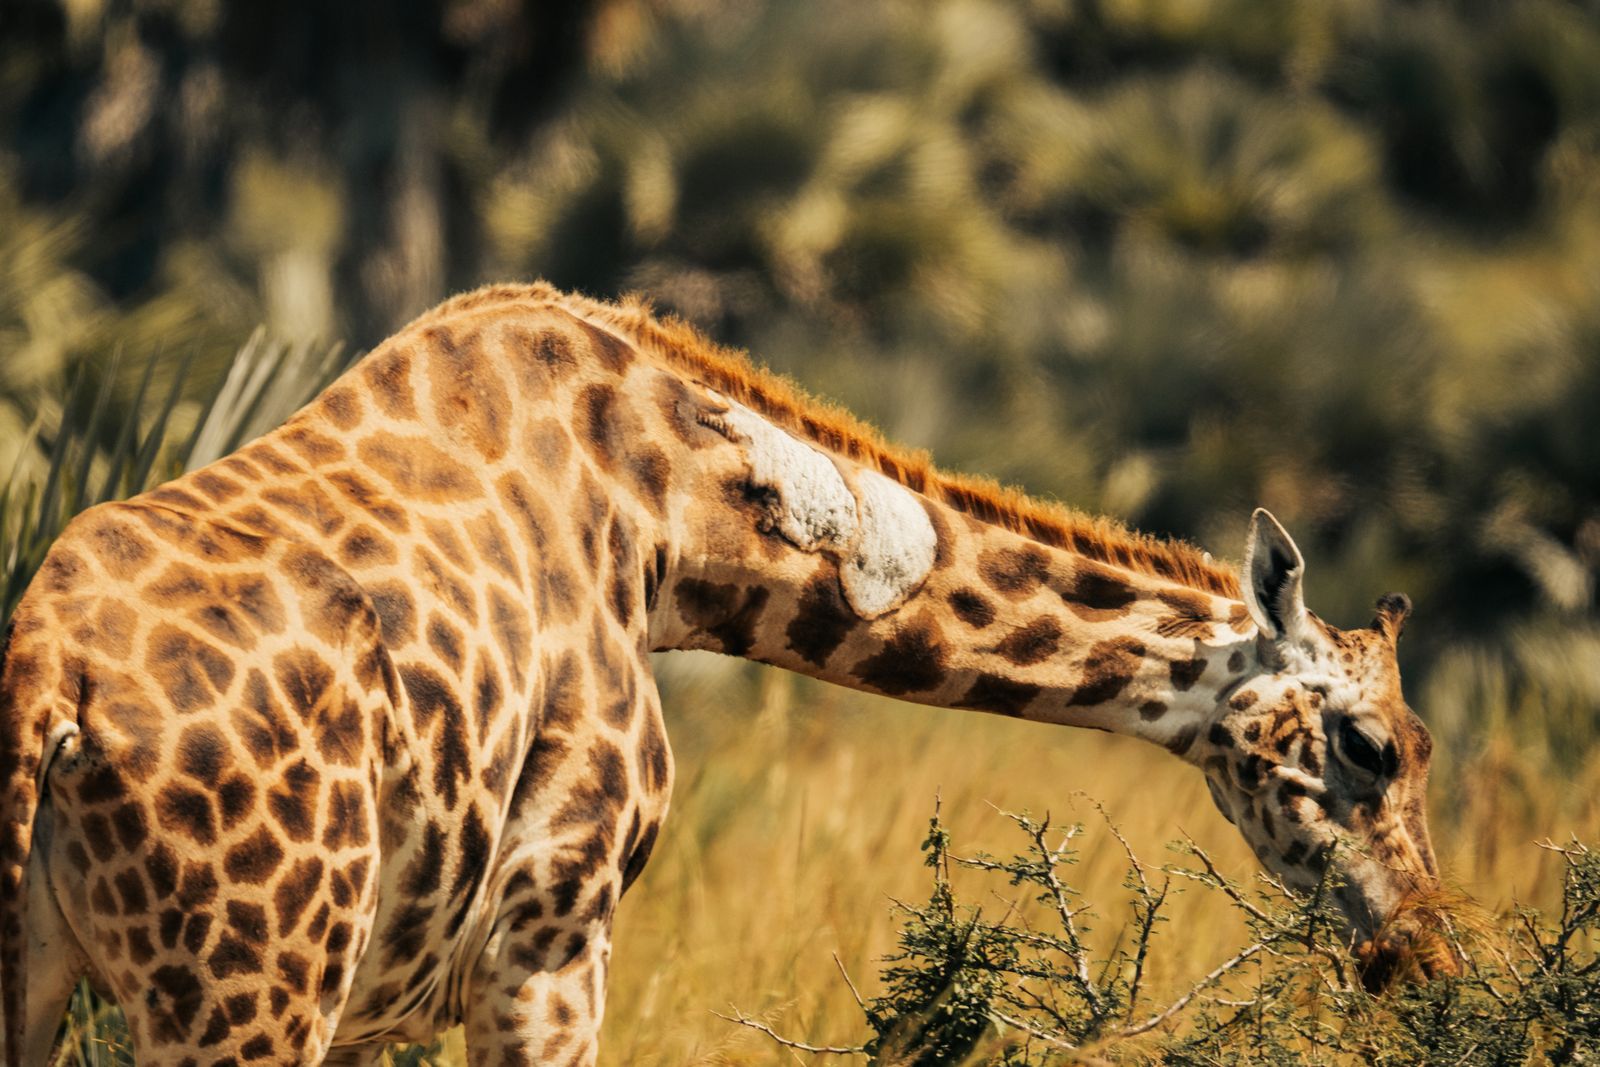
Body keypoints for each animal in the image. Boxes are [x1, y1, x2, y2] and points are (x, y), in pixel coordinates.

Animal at [0, 282, 1453, 1066]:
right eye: (1369, 745)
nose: (1427, 948)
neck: (669, 522)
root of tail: (47, 687)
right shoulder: (546, 937)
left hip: (71, 979)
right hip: (247, 989)